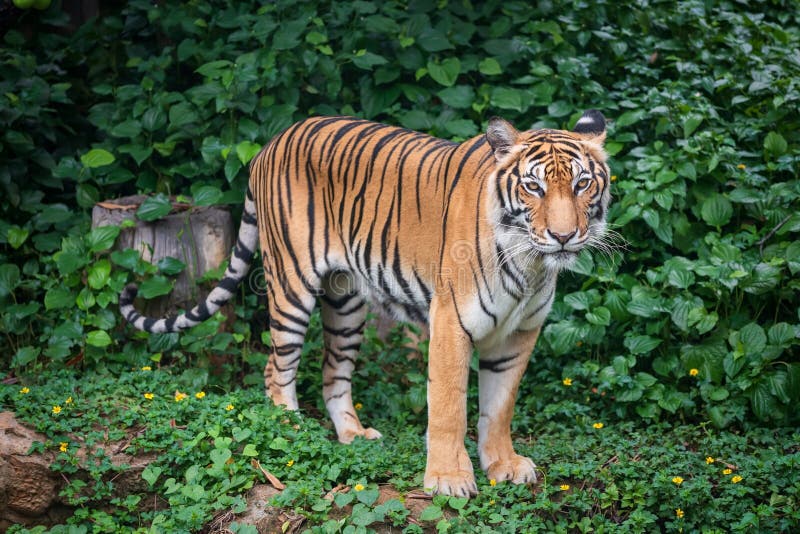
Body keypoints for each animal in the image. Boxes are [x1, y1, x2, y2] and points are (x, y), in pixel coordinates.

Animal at [120, 110, 611, 497]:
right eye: (533, 187)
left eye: (583, 184)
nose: (564, 236)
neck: (531, 263)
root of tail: (270, 143)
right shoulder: (451, 321)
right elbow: (448, 406)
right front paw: (448, 479)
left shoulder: (520, 333)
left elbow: (500, 407)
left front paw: (502, 465)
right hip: (291, 285)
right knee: (276, 367)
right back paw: (290, 432)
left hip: (346, 304)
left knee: (332, 373)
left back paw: (353, 435)